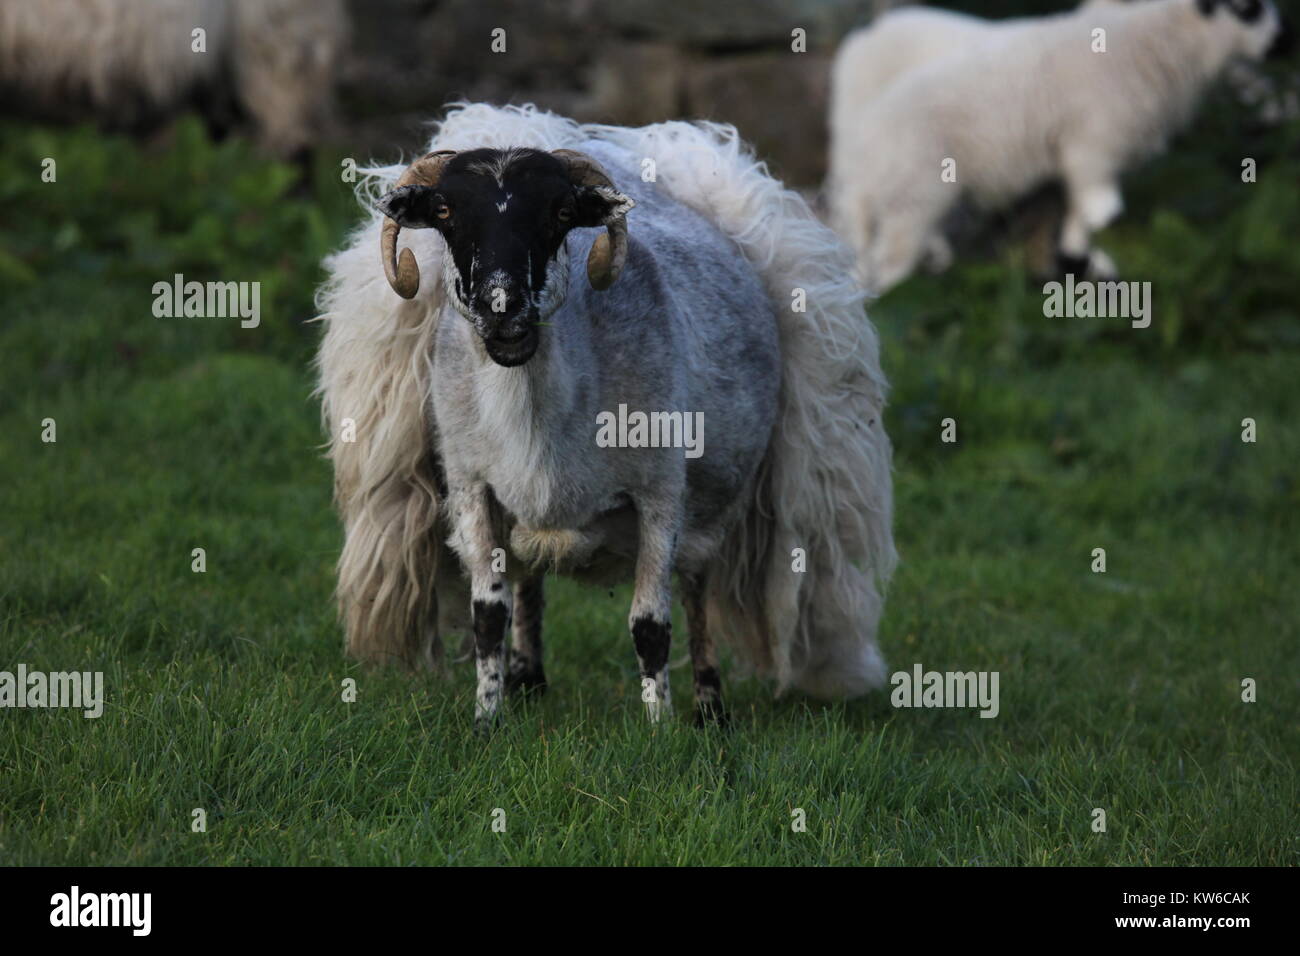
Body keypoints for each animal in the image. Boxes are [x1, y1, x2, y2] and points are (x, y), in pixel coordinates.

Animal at [316, 103, 897, 729]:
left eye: (562, 213)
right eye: (445, 212)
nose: (503, 309)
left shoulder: (660, 493)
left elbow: (651, 626)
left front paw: (658, 729)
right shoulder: (473, 488)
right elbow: (488, 615)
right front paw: (487, 720)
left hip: (713, 497)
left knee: (696, 585)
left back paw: (710, 708)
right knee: (529, 581)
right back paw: (528, 678)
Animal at [827, 0, 1293, 294]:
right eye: (1247, 7)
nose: (1288, 42)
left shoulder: (1081, 155)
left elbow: (1079, 218)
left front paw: (1081, 265)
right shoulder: (1093, 143)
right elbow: (1102, 214)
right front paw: (1096, 269)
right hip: (909, 183)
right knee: (887, 255)